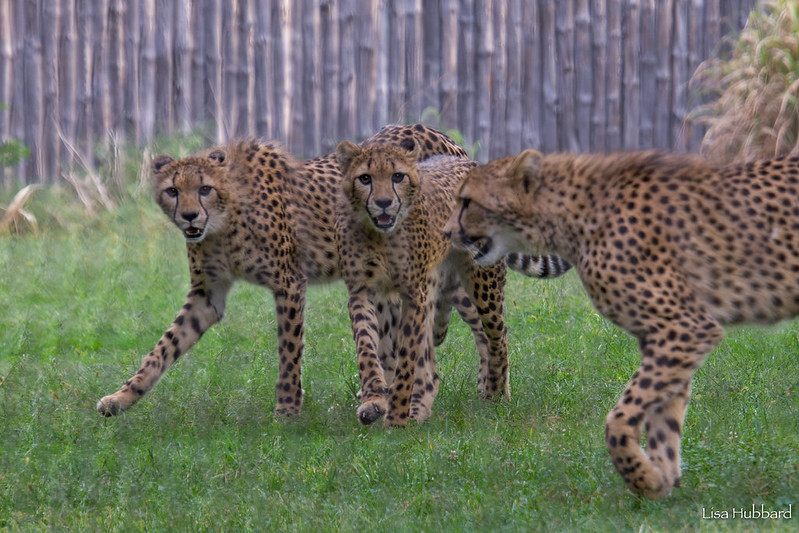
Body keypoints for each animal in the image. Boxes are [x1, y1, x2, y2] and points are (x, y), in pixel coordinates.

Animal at [95, 124, 568, 420]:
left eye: (205, 188)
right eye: (173, 191)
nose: (190, 216)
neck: (225, 220)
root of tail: (445, 139)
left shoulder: (289, 283)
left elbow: (289, 353)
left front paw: (287, 411)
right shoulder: (206, 296)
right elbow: (162, 348)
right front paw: (122, 397)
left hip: (458, 278)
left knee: (490, 330)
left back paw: (492, 395)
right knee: (438, 346)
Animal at [444, 148, 799, 498]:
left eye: (468, 201)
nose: (446, 233)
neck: (570, 215)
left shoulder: (686, 327)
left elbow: (619, 418)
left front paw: (644, 479)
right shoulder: (667, 336)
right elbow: (663, 417)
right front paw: (660, 479)